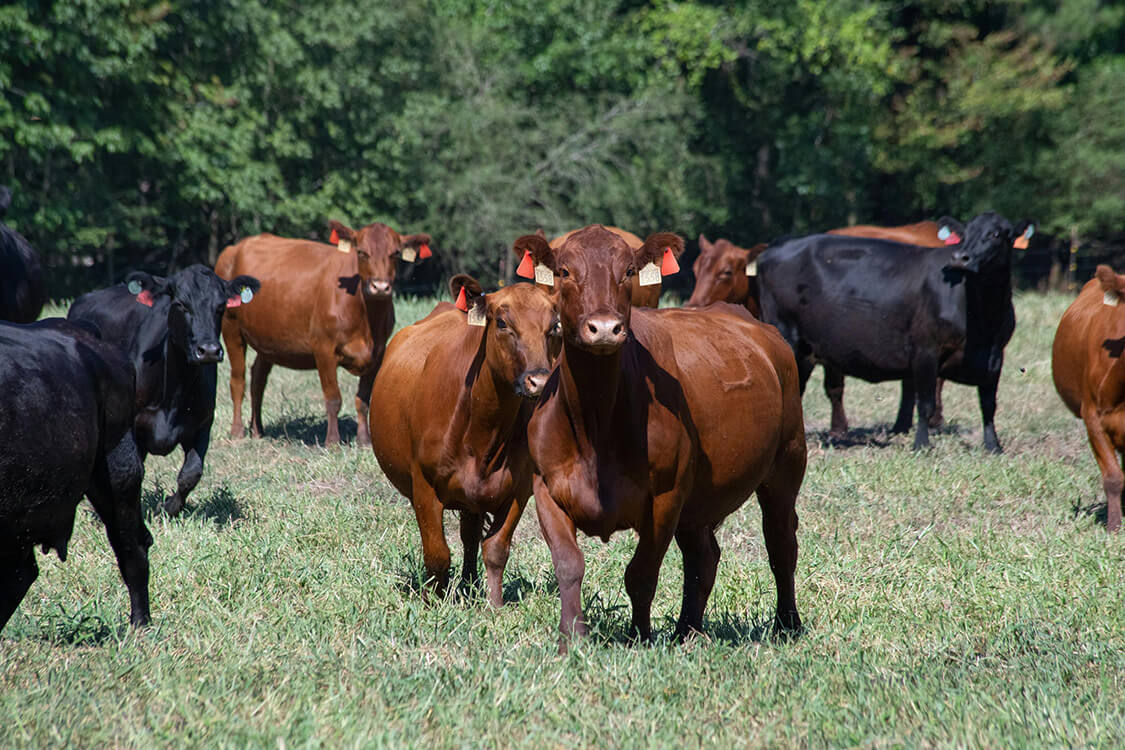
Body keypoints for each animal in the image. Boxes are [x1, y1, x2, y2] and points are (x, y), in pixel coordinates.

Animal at [68, 265, 261, 516]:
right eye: (181, 304)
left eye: (221, 306)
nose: (208, 350)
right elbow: (133, 471)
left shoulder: (203, 422)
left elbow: (192, 472)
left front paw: (170, 506)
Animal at [215, 221, 432, 446]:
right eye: (361, 252)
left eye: (395, 253)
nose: (380, 287)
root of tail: (235, 248)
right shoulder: (323, 348)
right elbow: (333, 398)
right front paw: (333, 441)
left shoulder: (378, 353)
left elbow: (363, 399)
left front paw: (364, 440)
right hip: (230, 327)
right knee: (238, 381)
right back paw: (237, 431)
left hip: (267, 340)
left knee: (258, 380)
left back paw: (257, 430)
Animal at [370, 275, 559, 605]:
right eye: (502, 323)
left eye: (554, 327)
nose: (539, 381)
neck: (481, 435)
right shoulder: (424, 487)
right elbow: (437, 554)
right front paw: (431, 603)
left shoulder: (519, 490)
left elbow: (495, 549)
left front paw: (493, 605)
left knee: (470, 536)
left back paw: (469, 586)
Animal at [516, 226, 806, 650]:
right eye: (564, 271)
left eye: (629, 270)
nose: (604, 328)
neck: (595, 424)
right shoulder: (546, 488)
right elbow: (569, 565)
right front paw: (572, 639)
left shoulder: (666, 497)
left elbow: (641, 574)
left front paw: (639, 636)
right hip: (700, 498)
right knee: (704, 556)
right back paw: (688, 629)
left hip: (786, 463)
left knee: (780, 543)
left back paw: (787, 624)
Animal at [759, 212, 1032, 453]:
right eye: (964, 233)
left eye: (996, 234)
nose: (960, 257)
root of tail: (777, 247)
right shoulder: (926, 349)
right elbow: (926, 402)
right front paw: (921, 445)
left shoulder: (995, 356)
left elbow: (988, 404)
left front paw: (993, 445)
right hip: (787, 336)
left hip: (805, 349)